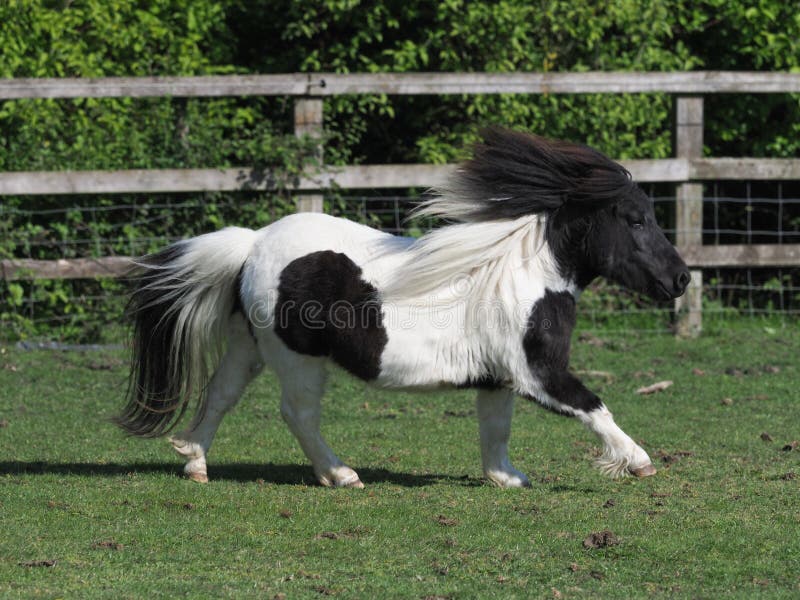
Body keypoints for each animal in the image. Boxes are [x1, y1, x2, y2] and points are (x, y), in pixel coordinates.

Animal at [117, 127, 690, 488]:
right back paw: (341, 475)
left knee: (220, 396)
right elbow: (594, 408)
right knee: (297, 414)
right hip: (297, 359)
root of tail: (253, 244)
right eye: (635, 219)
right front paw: (639, 463)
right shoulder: (538, 373)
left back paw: (196, 464)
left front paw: (506, 478)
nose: (680, 278)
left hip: (248, 346)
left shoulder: (498, 378)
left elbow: (495, 429)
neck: (525, 277)